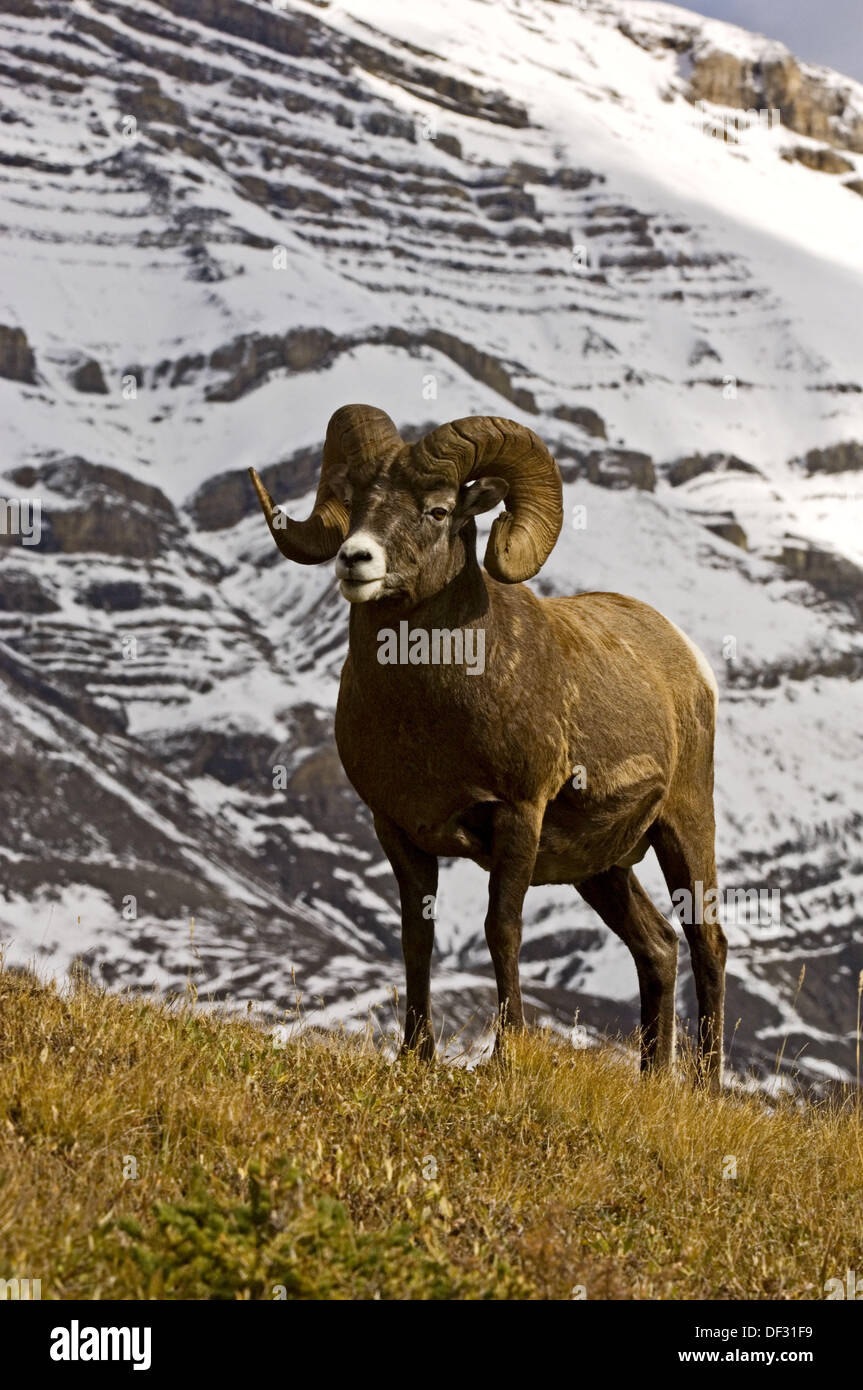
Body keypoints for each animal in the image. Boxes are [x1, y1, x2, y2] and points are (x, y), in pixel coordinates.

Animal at [250, 405, 726, 1085]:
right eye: (358, 501)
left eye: (437, 510)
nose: (354, 560)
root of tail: (688, 658)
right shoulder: (398, 829)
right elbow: (415, 938)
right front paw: (415, 1054)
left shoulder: (517, 818)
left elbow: (502, 930)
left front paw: (506, 1055)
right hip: (602, 869)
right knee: (658, 946)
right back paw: (653, 1081)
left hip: (683, 825)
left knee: (706, 941)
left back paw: (707, 1089)